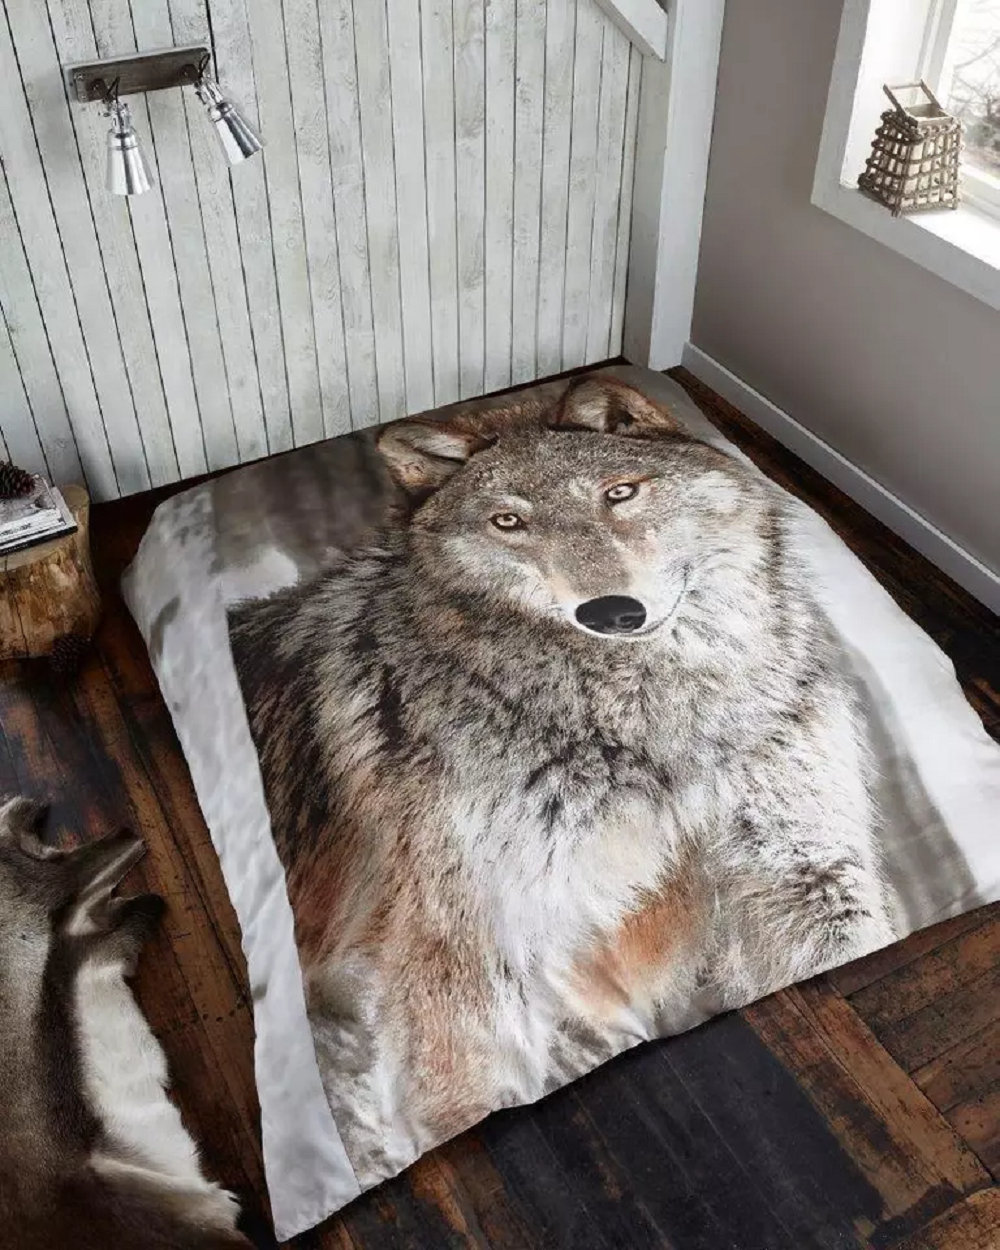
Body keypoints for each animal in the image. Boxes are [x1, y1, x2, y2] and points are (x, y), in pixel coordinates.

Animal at [229, 376, 894, 1184]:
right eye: (509, 522)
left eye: (621, 493)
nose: (611, 612)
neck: (656, 732)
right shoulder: (469, 951)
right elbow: (475, 1095)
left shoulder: (806, 870)